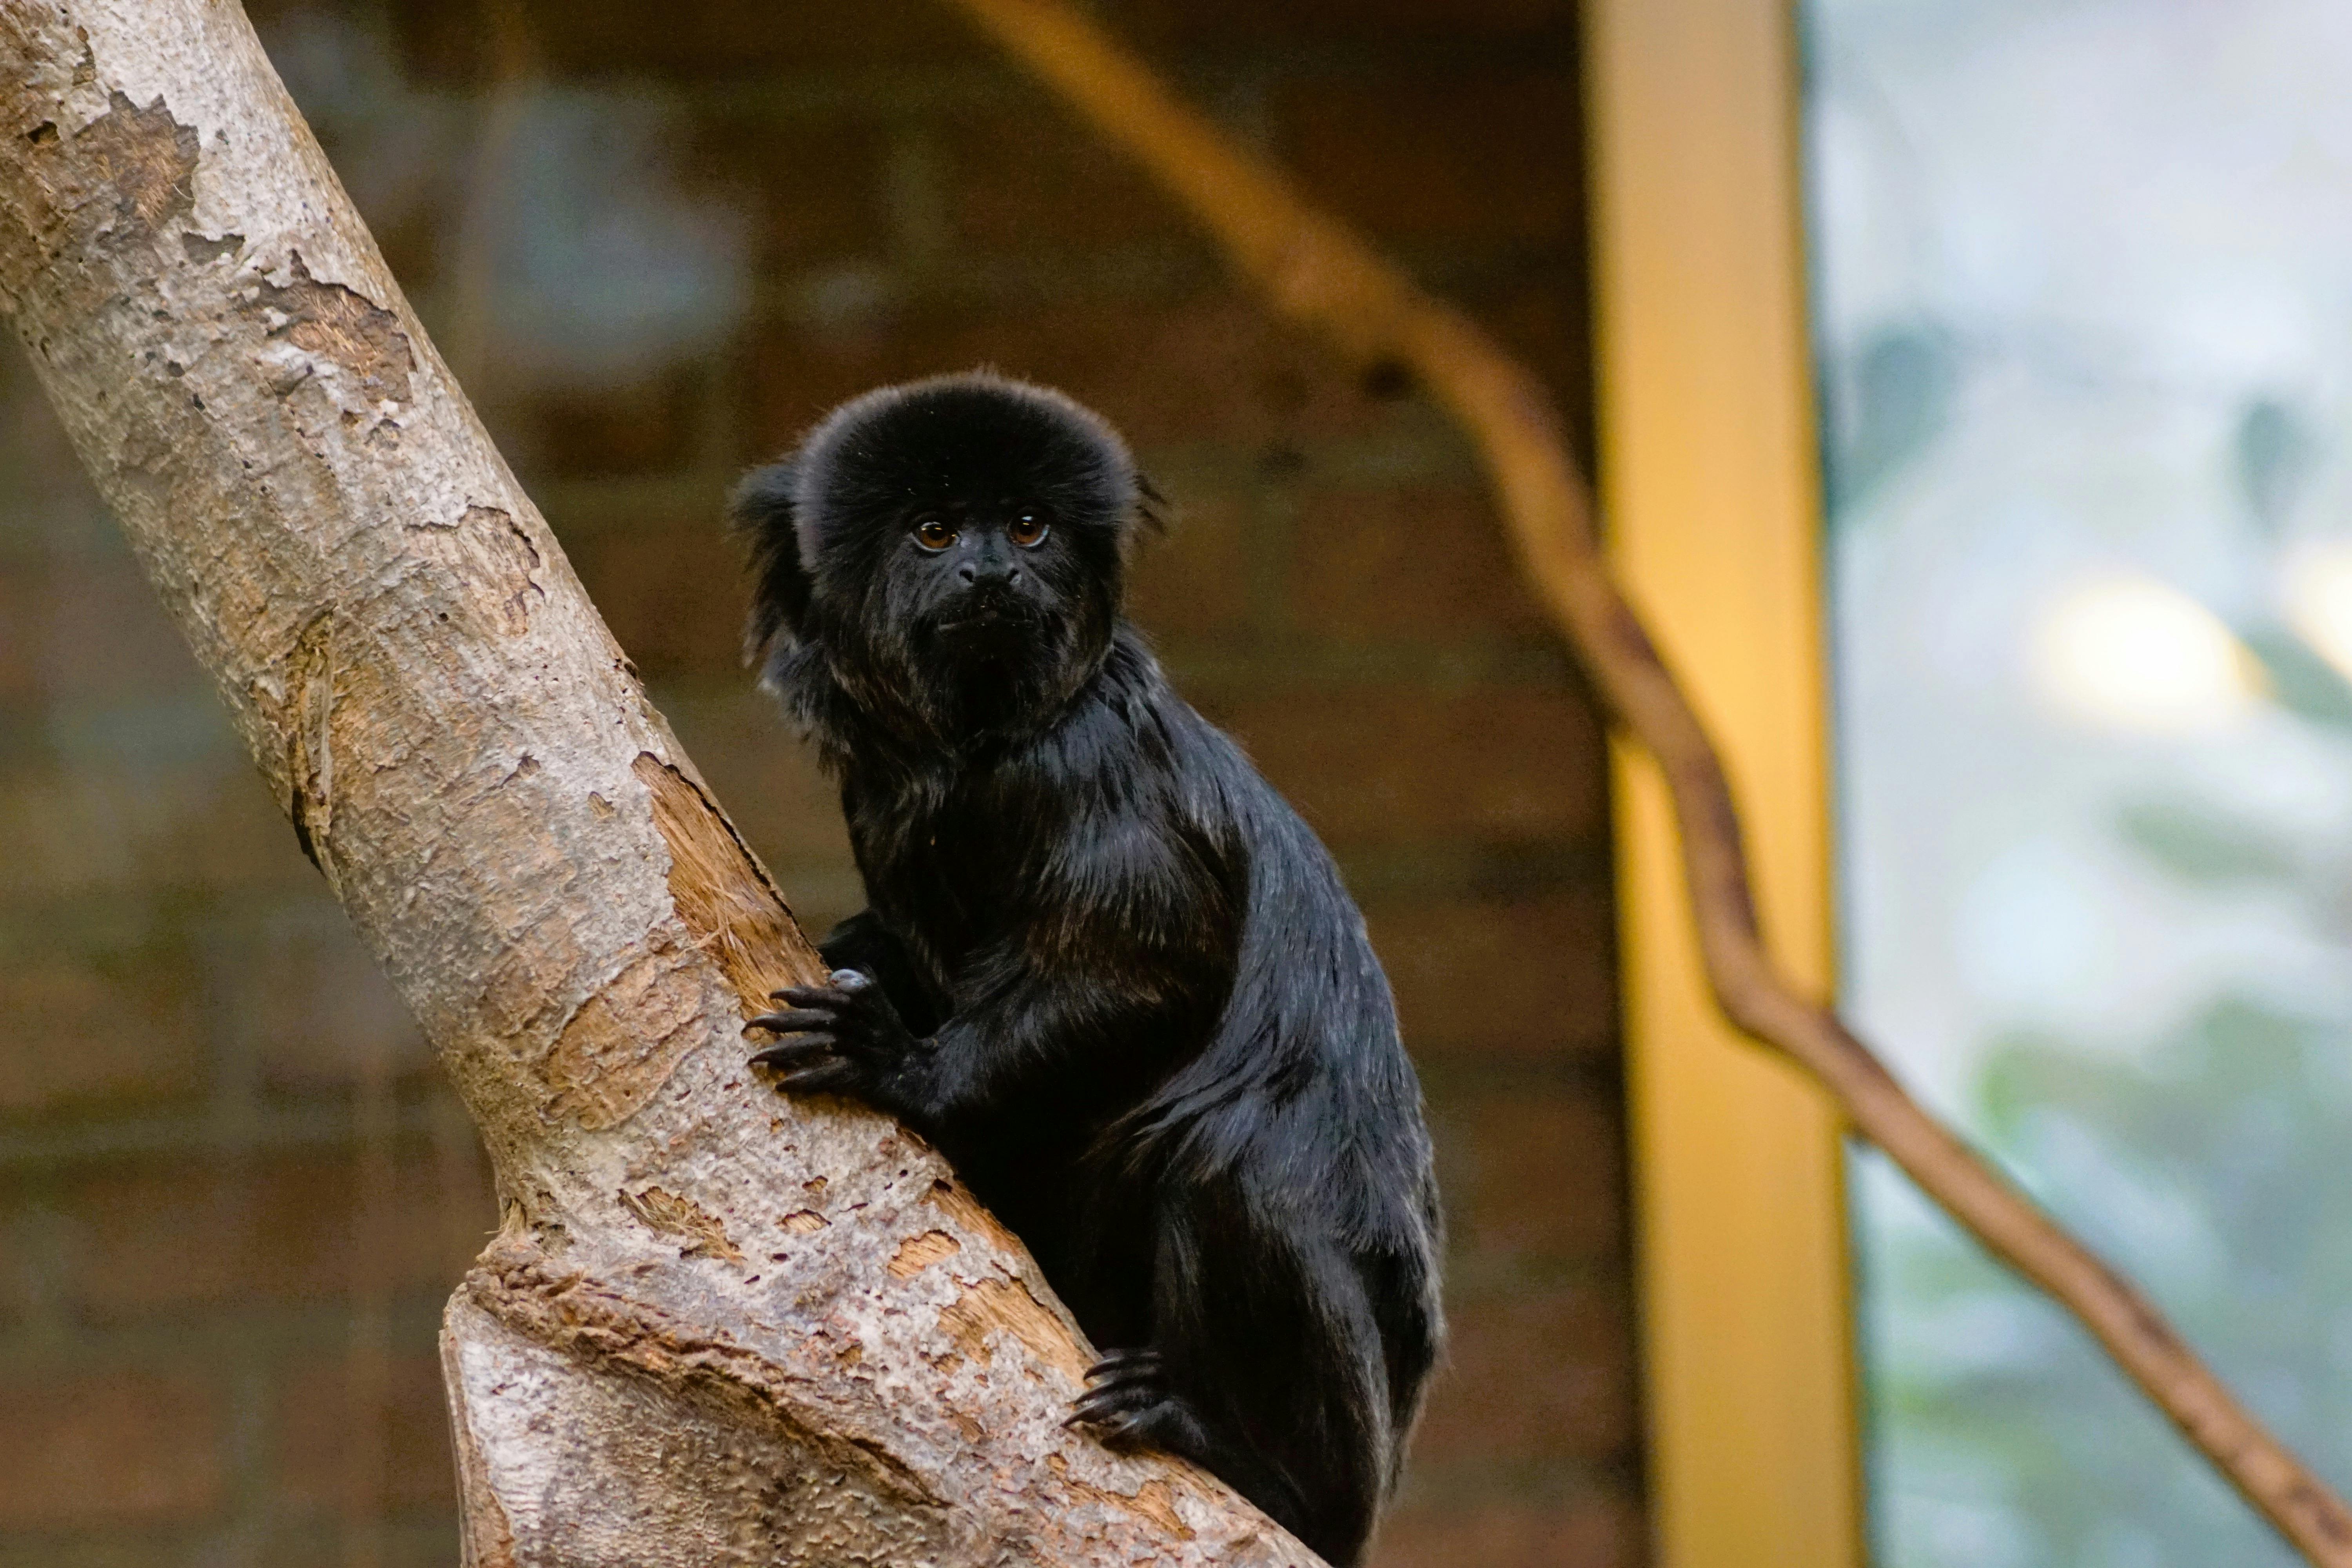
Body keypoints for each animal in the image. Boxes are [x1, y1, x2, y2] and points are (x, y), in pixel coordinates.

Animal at [733, 371, 1443, 1566]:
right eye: (934, 533)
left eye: (1029, 527)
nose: (990, 571)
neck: (973, 758)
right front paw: (866, 962)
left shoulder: (1094, 760)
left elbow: (1149, 973)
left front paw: (901, 1068)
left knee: (1232, 1160)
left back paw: (1241, 1456)